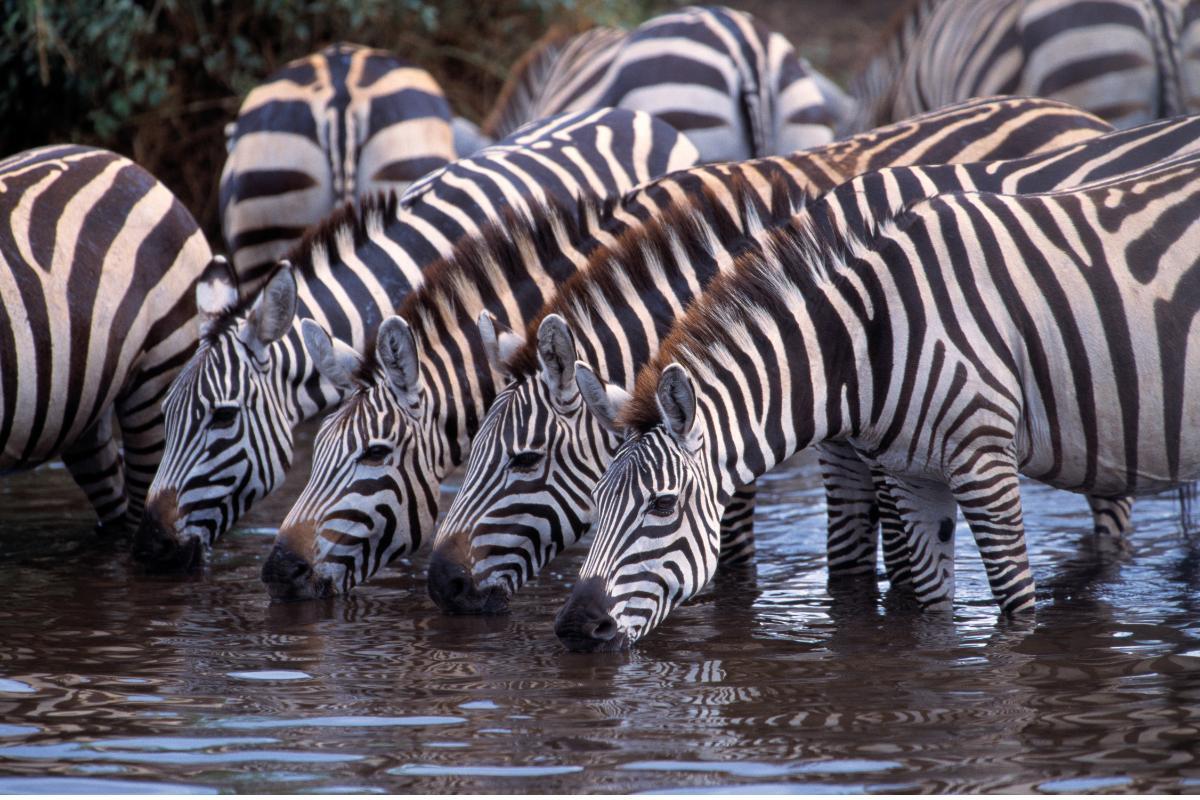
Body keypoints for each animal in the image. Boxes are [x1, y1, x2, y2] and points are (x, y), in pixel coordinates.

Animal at [556, 146, 1200, 652]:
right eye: (595, 499)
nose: (575, 628)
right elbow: (931, 612)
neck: (866, 340)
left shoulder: (984, 462)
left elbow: (1016, 607)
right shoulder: (912, 476)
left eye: (662, 505)